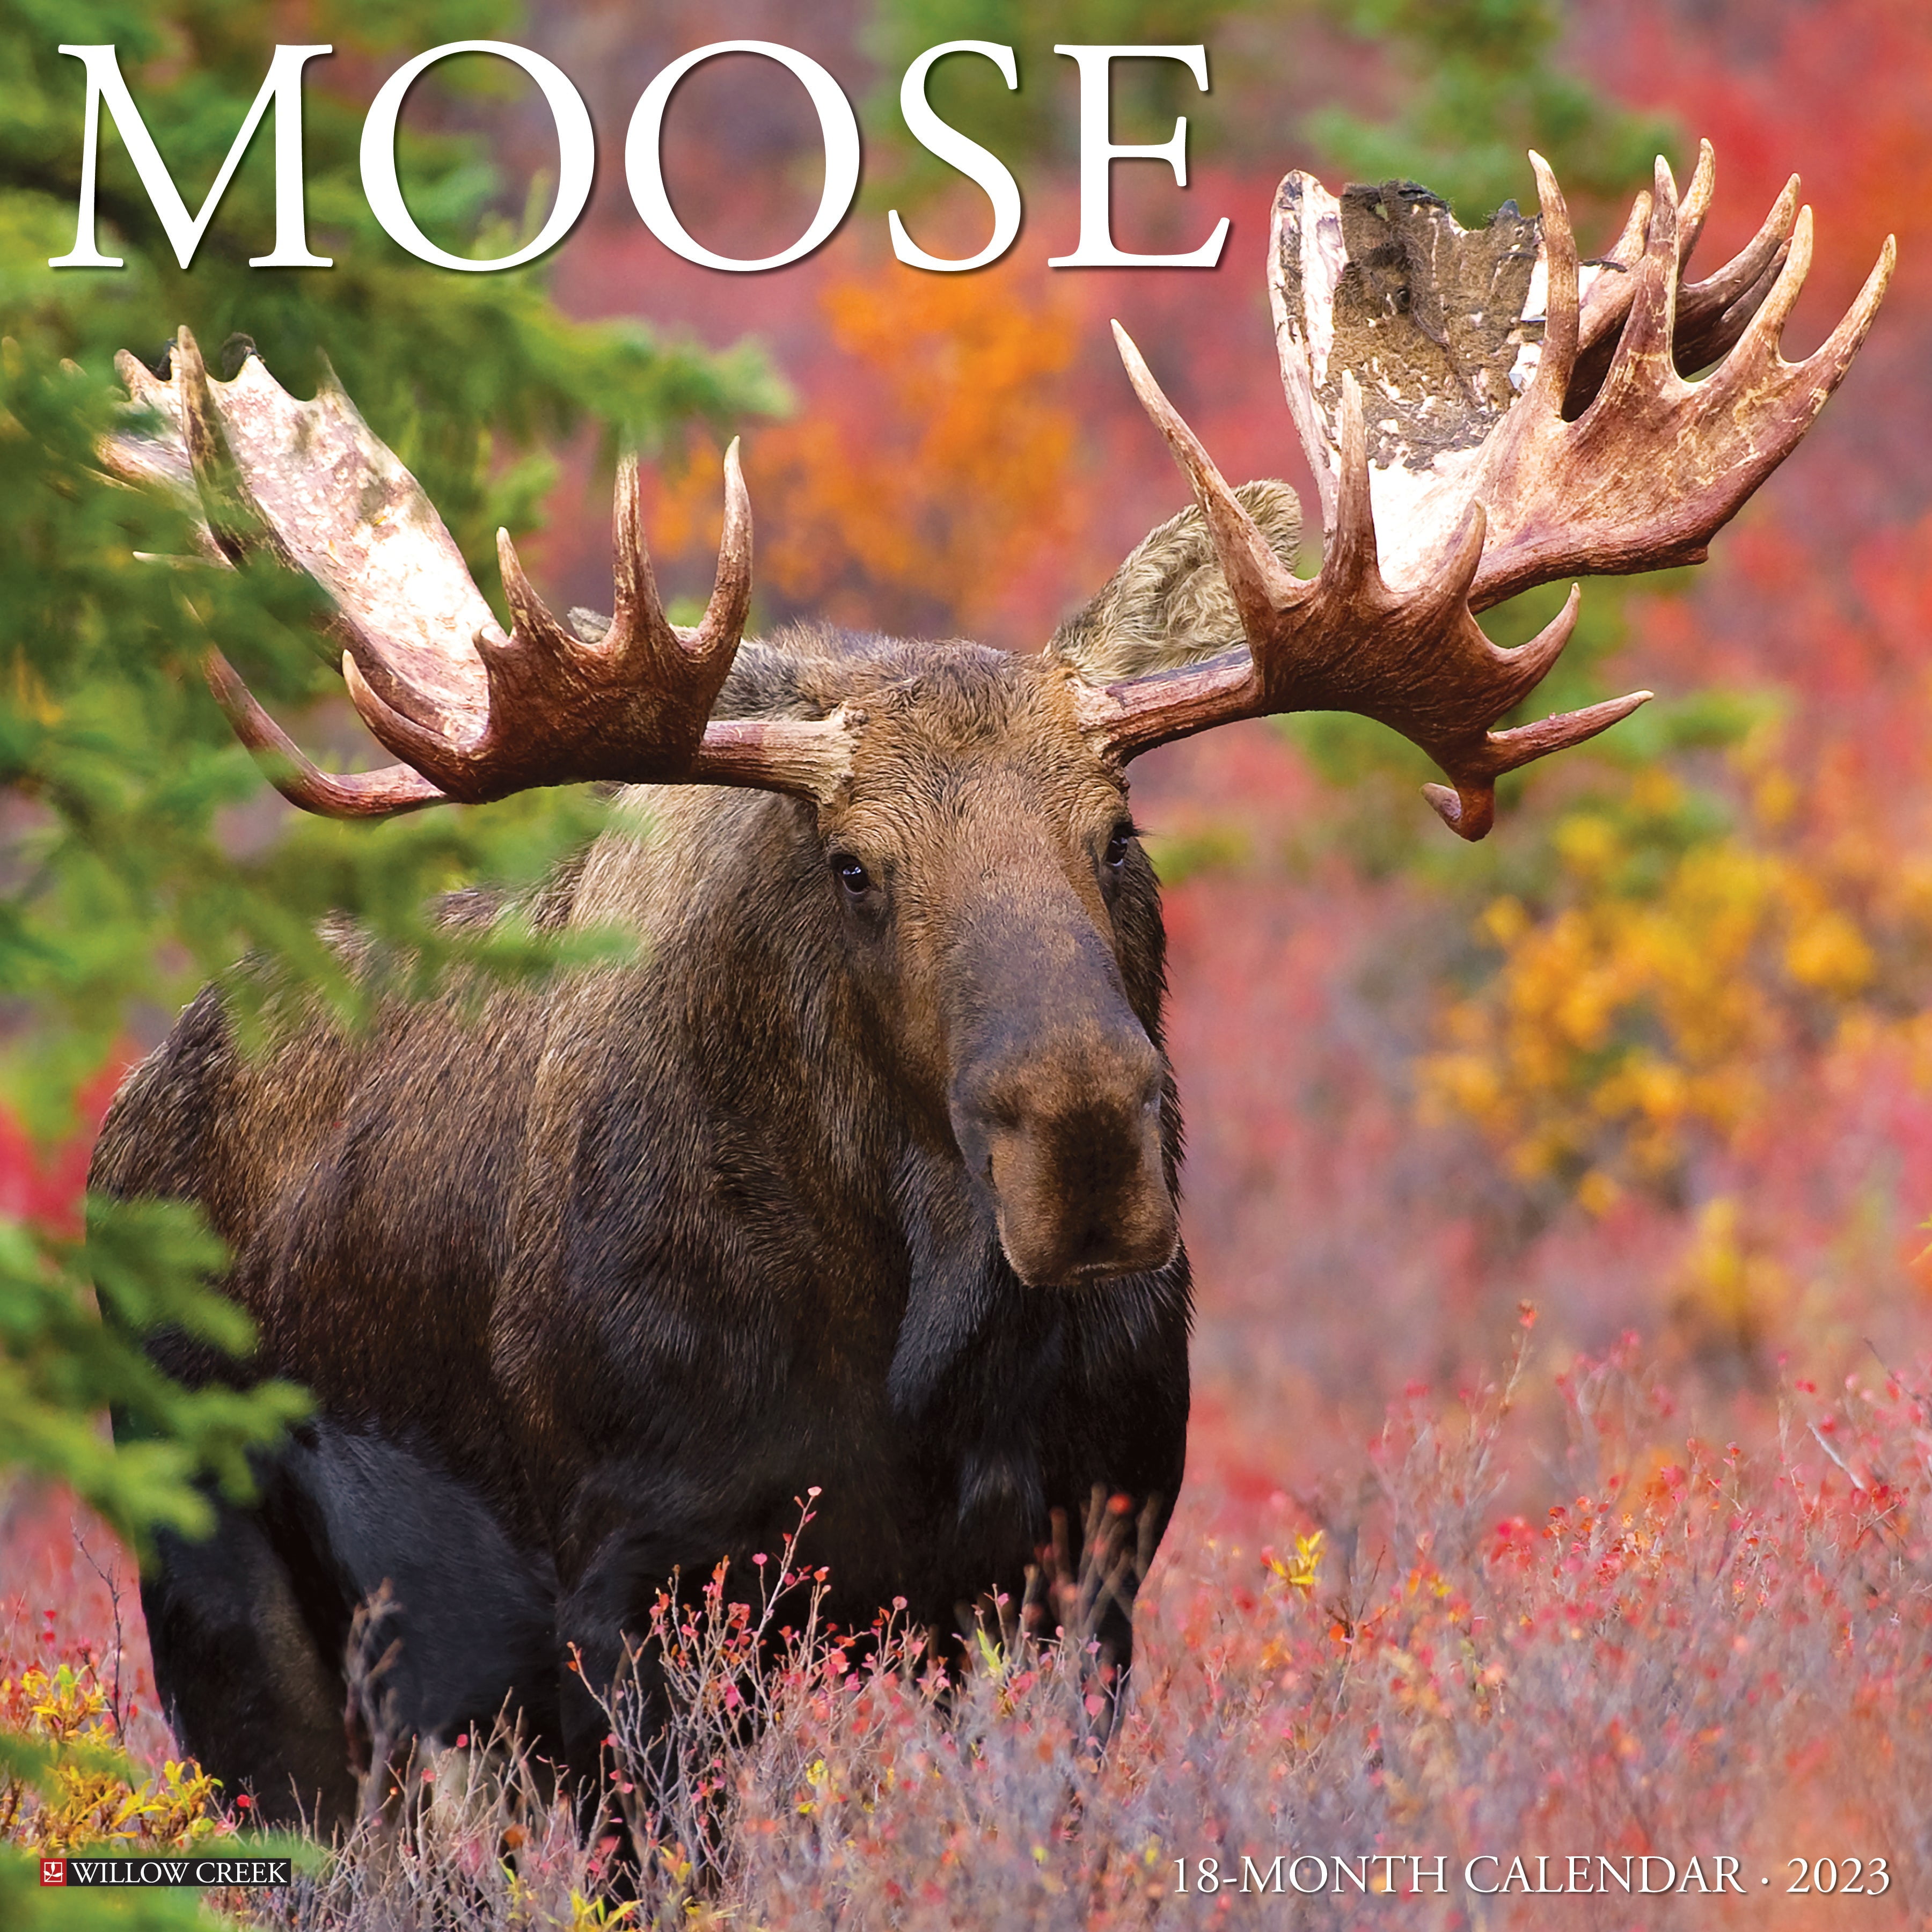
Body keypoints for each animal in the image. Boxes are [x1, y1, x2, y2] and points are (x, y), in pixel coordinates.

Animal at [91, 146, 1890, 1827]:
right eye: (851, 865)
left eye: (1118, 832)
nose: (1084, 1140)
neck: (905, 1360)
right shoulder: (641, 1593)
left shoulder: (1074, 1569)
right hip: (238, 1612)